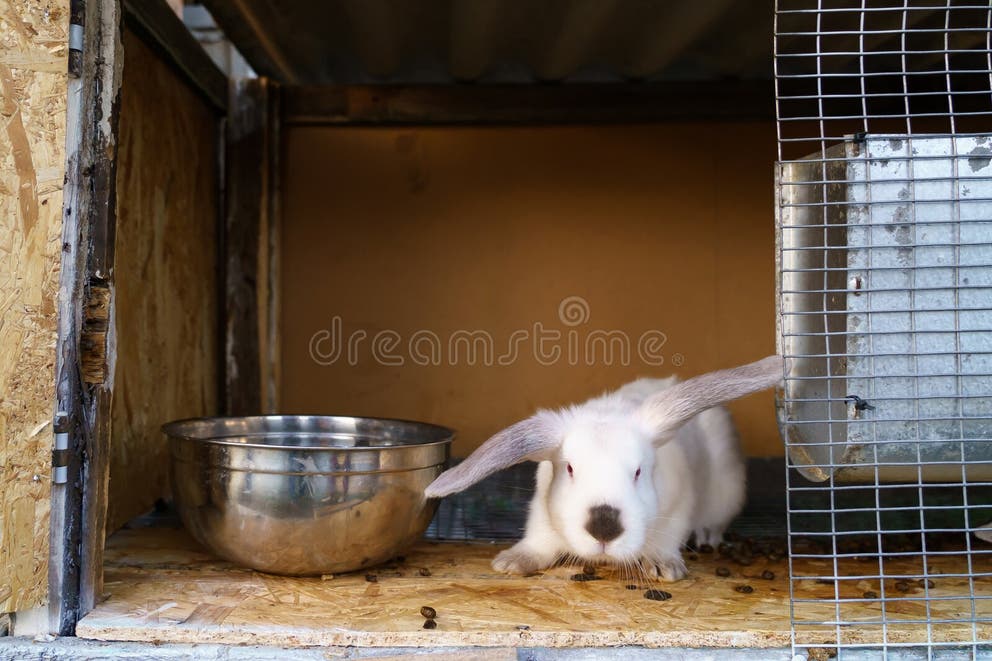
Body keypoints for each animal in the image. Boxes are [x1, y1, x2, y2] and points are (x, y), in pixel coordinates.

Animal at [424, 355, 783, 581]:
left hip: (728, 489)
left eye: (638, 472)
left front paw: (664, 567)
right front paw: (511, 562)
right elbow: (538, 539)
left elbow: (667, 537)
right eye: (570, 469)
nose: (604, 528)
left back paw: (706, 534)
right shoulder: (541, 511)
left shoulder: (679, 506)